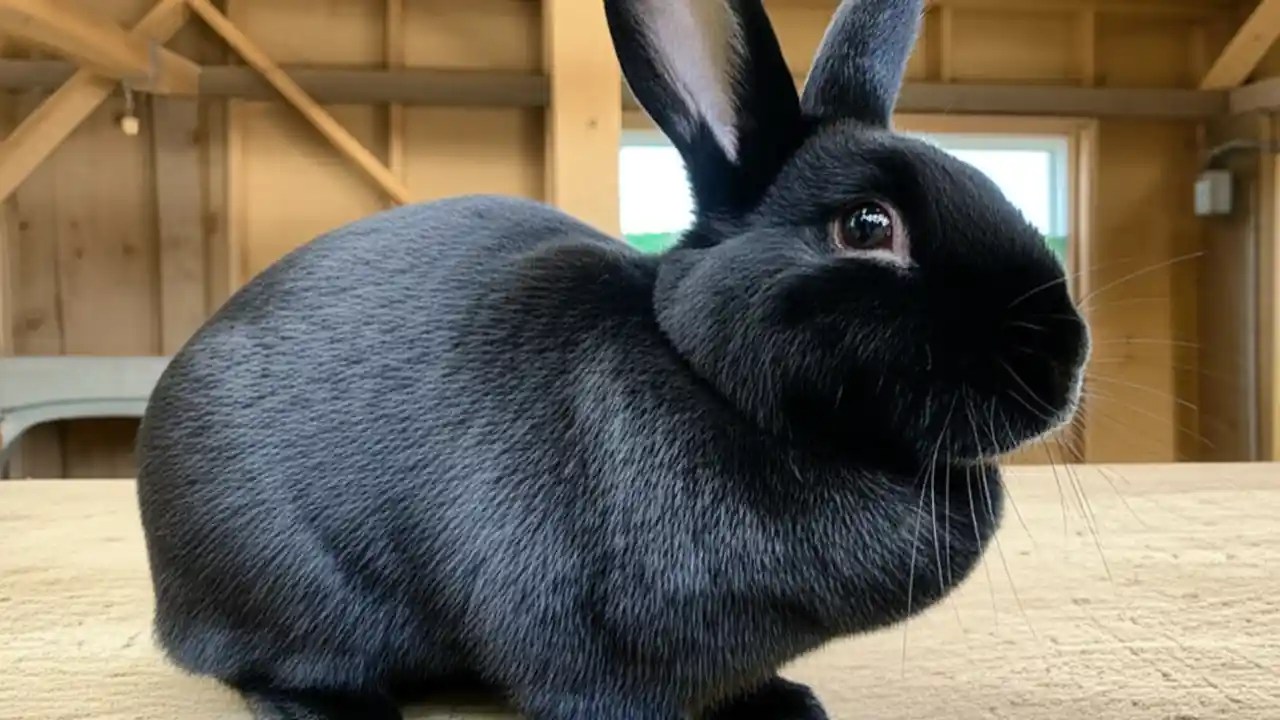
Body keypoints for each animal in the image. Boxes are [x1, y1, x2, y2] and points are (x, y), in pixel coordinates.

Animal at [134, 0, 1090, 718]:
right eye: (865, 225)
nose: (1066, 358)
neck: (710, 383)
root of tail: (168, 599)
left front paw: (784, 704)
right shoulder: (589, 641)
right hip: (288, 589)